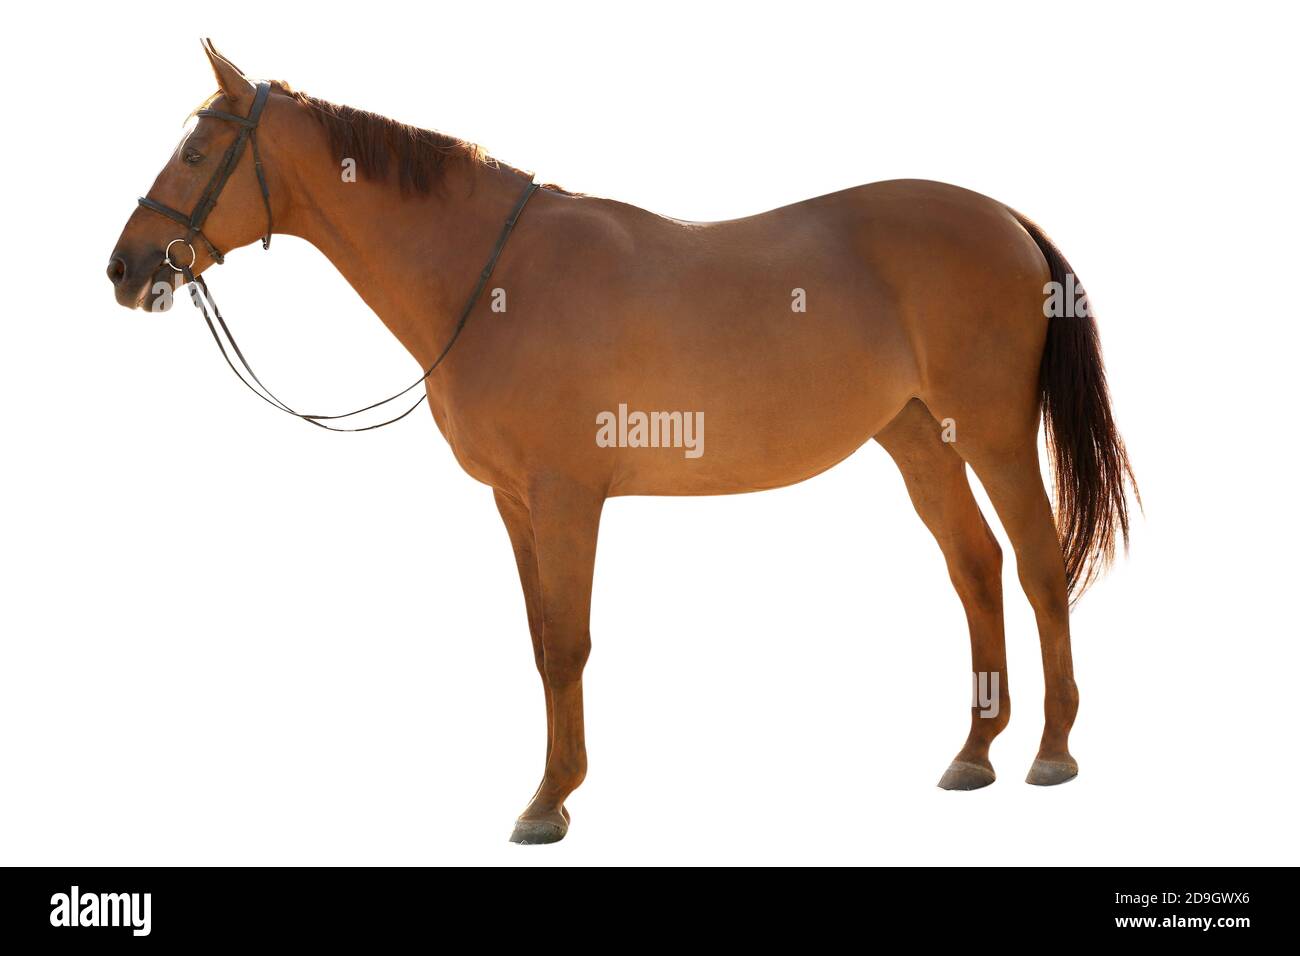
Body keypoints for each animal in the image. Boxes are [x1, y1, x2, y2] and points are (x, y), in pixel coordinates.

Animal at [108, 41, 1137, 844]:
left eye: (196, 149)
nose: (124, 268)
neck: (494, 278)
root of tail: (1008, 220)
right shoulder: (515, 502)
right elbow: (539, 643)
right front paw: (548, 788)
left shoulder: (568, 498)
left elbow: (569, 645)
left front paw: (547, 806)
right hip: (915, 437)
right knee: (975, 566)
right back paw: (974, 753)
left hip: (994, 435)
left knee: (1038, 564)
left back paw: (1052, 752)